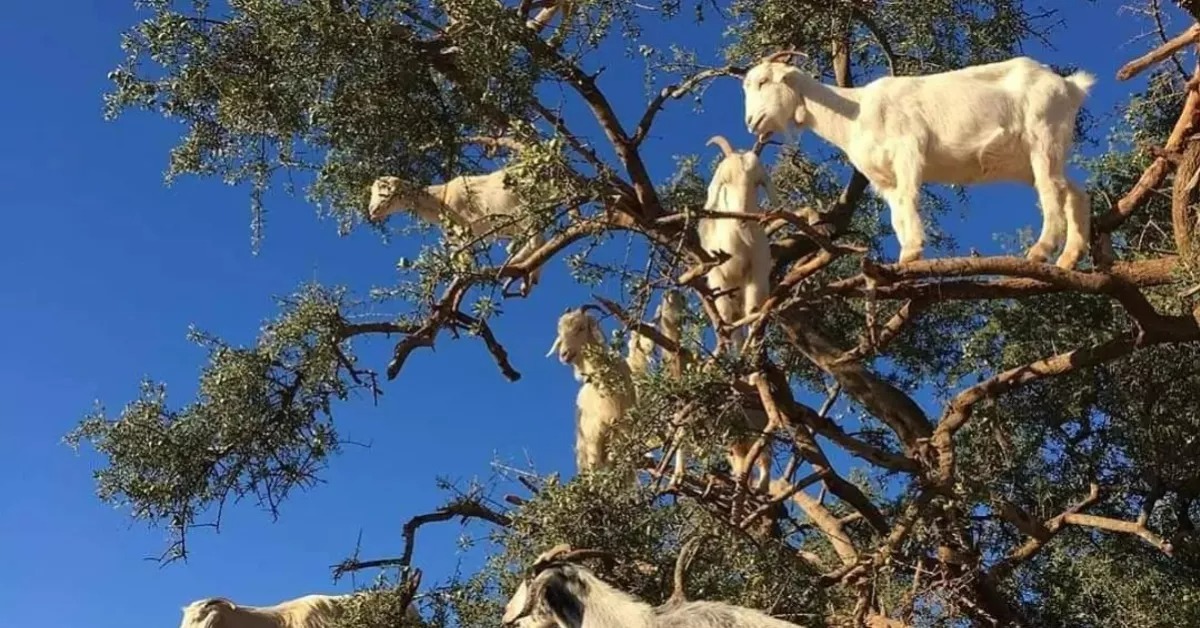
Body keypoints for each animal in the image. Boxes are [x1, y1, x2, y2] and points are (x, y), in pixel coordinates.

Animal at [368, 169, 546, 293]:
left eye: (385, 188)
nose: (372, 210)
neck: (441, 198)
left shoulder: (464, 227)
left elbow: (464, 254)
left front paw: (463, 275)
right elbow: (460, 254)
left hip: (522, 210)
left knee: (536, 238)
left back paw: (515, 261)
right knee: (539, 242)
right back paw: (528, 279)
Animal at [699, 136, 777, 351]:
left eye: (757, 183)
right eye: (726, 181)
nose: (743, 216)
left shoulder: (757, 271)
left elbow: (752, 310)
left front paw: (751, 347)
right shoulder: (717, 275)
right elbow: (726, 315)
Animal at [742, 52, 1097, 269]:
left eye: (763, 81)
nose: (751, 122)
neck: (855, 111)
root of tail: (1069, 86)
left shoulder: (908, 150)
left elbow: (909, 197)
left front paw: (912, 249)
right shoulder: (882, 177)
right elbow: (896, 213)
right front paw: (906, 258)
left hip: (1042, 136)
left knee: (1051, 190)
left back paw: (1042, 250)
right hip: (1028, 159)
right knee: (1074, 191)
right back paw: (1069, 258)